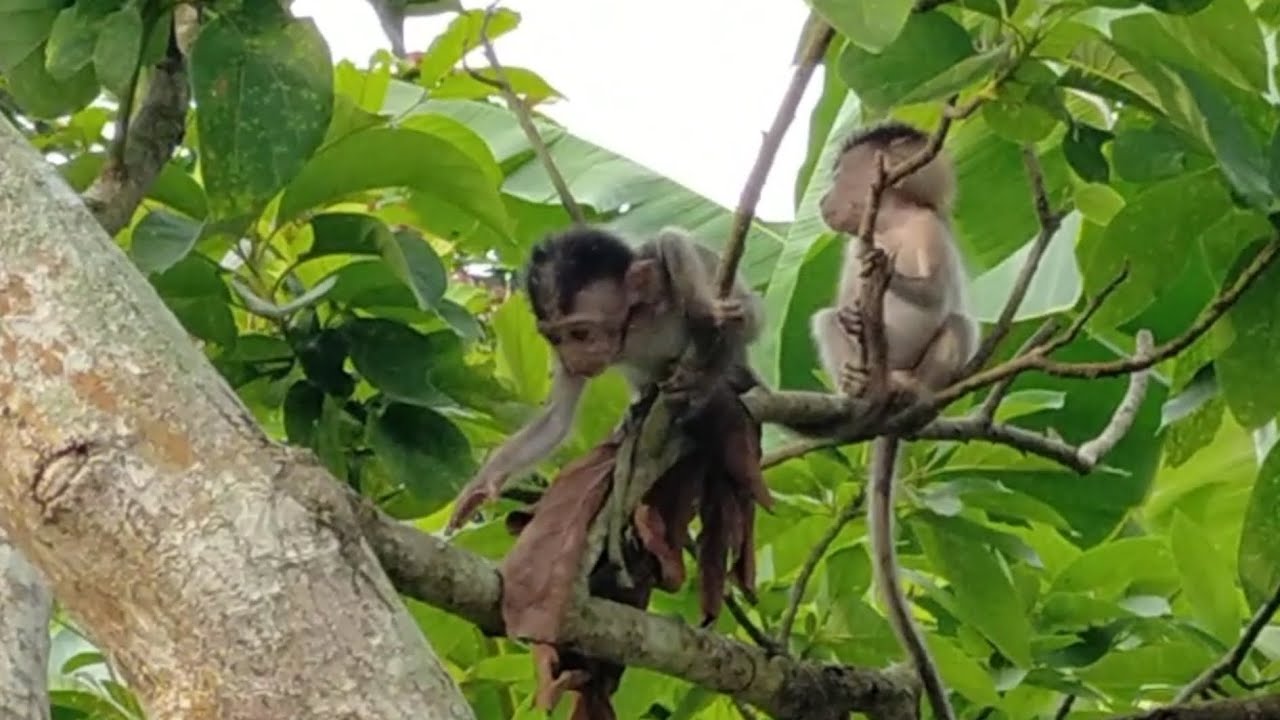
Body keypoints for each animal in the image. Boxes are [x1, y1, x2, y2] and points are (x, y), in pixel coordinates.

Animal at [445, 225, 764, 533]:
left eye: (581, 334)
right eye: (556, 339)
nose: (574, 360)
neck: (629, 329)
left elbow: (669, 241)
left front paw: (703, 309)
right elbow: (556, 420)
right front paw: (482, 484)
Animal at [811, 121, 978, 720]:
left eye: (839, 172)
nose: (824, 197)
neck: (888, 220)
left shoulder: (927, 228)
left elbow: (933, 292)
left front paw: (887, 270)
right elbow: (841, 307)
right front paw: (857, 312)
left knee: (958, 324)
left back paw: (908, 389)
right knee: (825, 317)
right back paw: (861, 385)